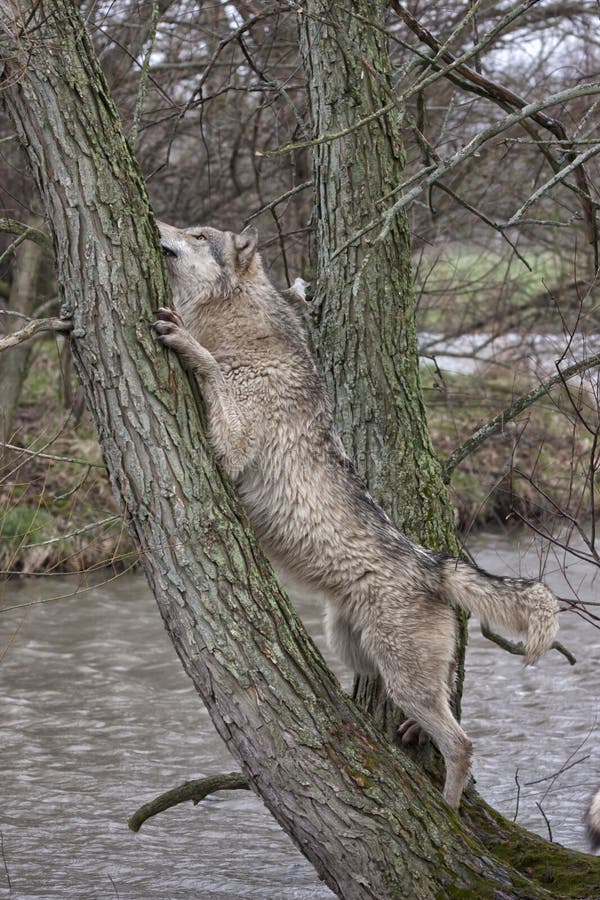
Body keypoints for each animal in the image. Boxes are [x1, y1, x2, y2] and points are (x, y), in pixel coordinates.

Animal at [152, 221, 559, 810]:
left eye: (200, 234)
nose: (157, 223)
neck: (248, 335)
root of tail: (435, 563)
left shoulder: (228, 450)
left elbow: (209, 367)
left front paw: (185, 339)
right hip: (356, 651)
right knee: (446, 690)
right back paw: (416, 735)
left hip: (400, 673)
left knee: (461, 742)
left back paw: (447, 805)